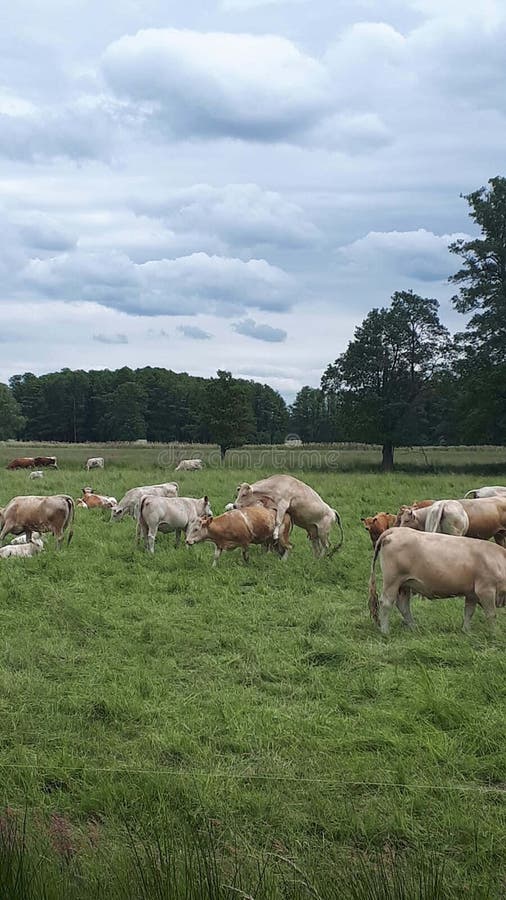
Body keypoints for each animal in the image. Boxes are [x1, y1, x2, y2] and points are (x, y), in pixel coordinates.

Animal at [368, 527, 506, 635]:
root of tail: (395, 530)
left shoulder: (471, 593)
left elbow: (468, 612)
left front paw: (466, 632)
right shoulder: (485, 589)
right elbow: (491, 614)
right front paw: (495, 634)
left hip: (404, 584)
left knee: (403, 605)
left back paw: (413, 627)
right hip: (392, 581)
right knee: (386, 603)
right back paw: (385, 631)